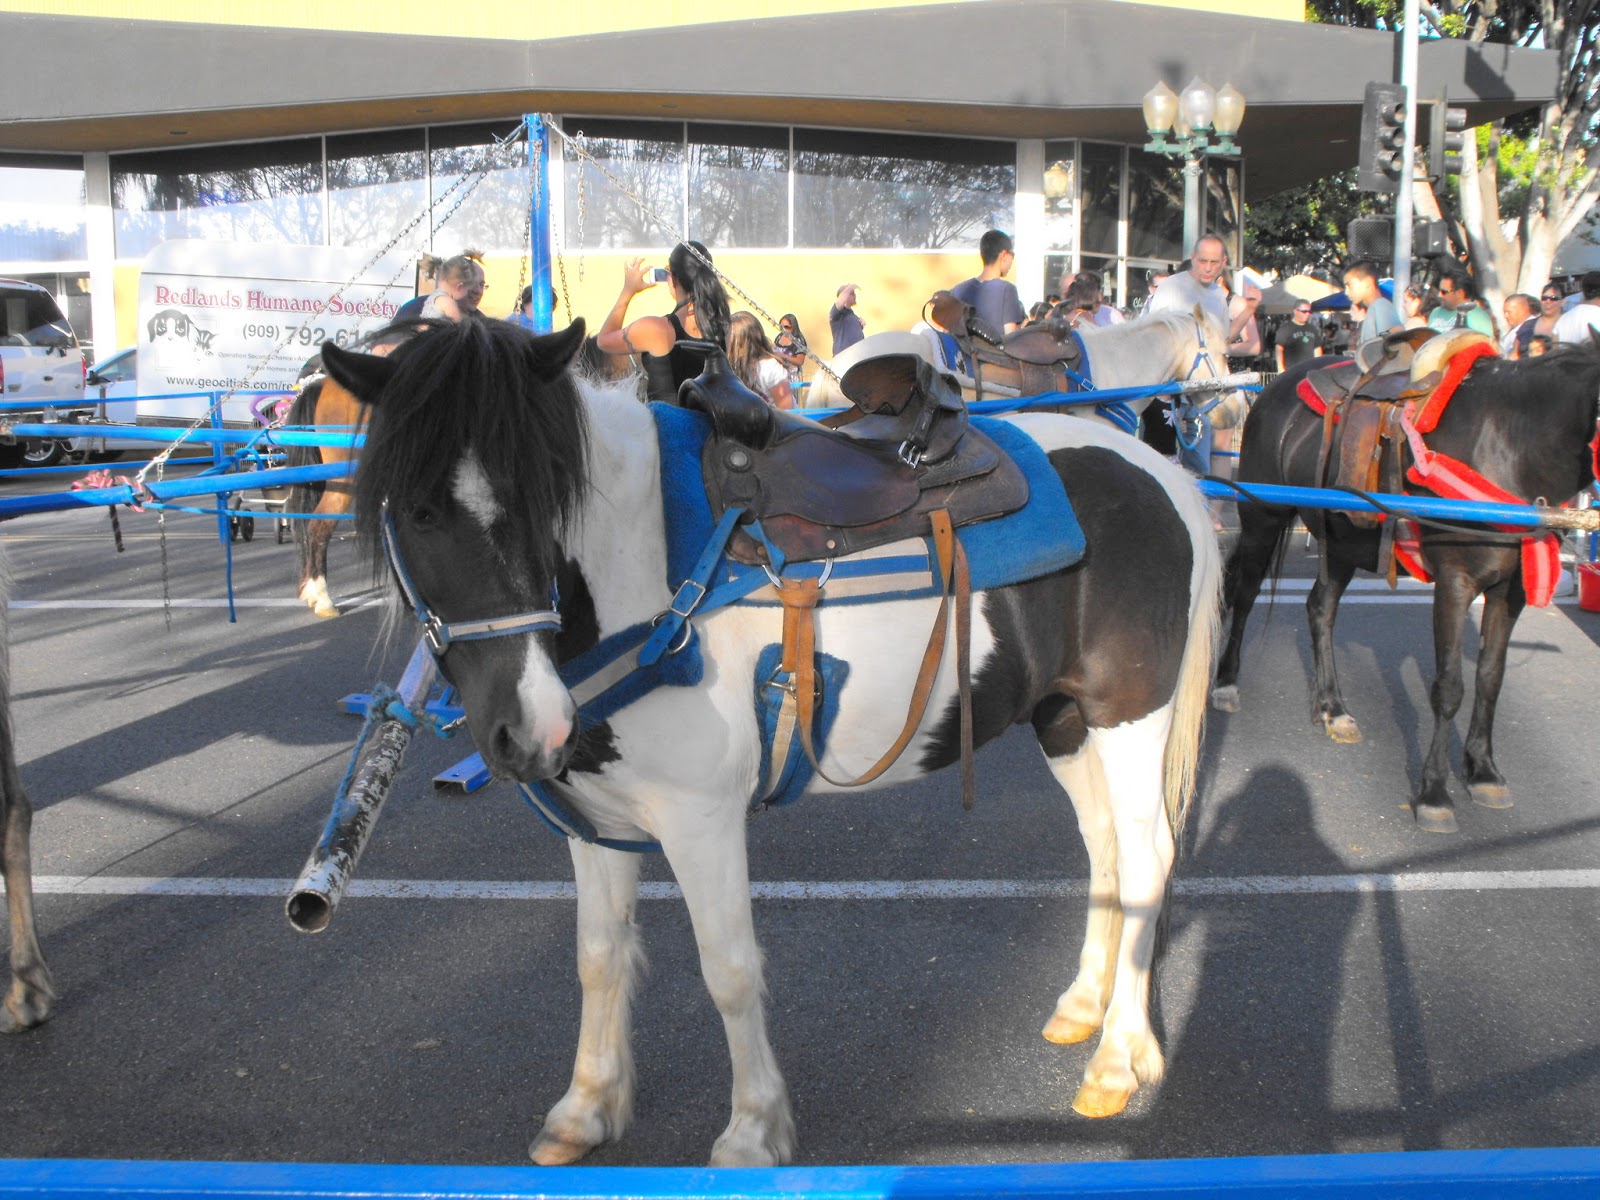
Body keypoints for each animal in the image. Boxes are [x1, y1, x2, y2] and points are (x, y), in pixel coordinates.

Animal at [317, 316, 1220, 1165]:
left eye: (548, 500)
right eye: (419, 511)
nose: (527, 731)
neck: (645, 579)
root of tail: (1166, 475)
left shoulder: (701, 820)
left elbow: (728, 969)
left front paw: (753, 1130)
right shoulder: (595, 822)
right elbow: (599, 957)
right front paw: (585, 1108)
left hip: (1129, 718)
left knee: (1147, 862)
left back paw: (1118, 1058)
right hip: (1063, 719)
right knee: (1105, 850)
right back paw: (1085, 1008)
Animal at [1212, 343, 1600, 834]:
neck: (1508, 446)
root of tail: (1272, 386)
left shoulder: (1508, 592)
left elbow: (1490, 679)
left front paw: (1484, 771)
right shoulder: (1455, 583)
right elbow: (1449, 688)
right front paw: (1434, 794)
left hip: (1344, 541)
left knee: (1320, 609)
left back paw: (1333, 707)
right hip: (1263, 518)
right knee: (1243, 595)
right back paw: (1226, 684)